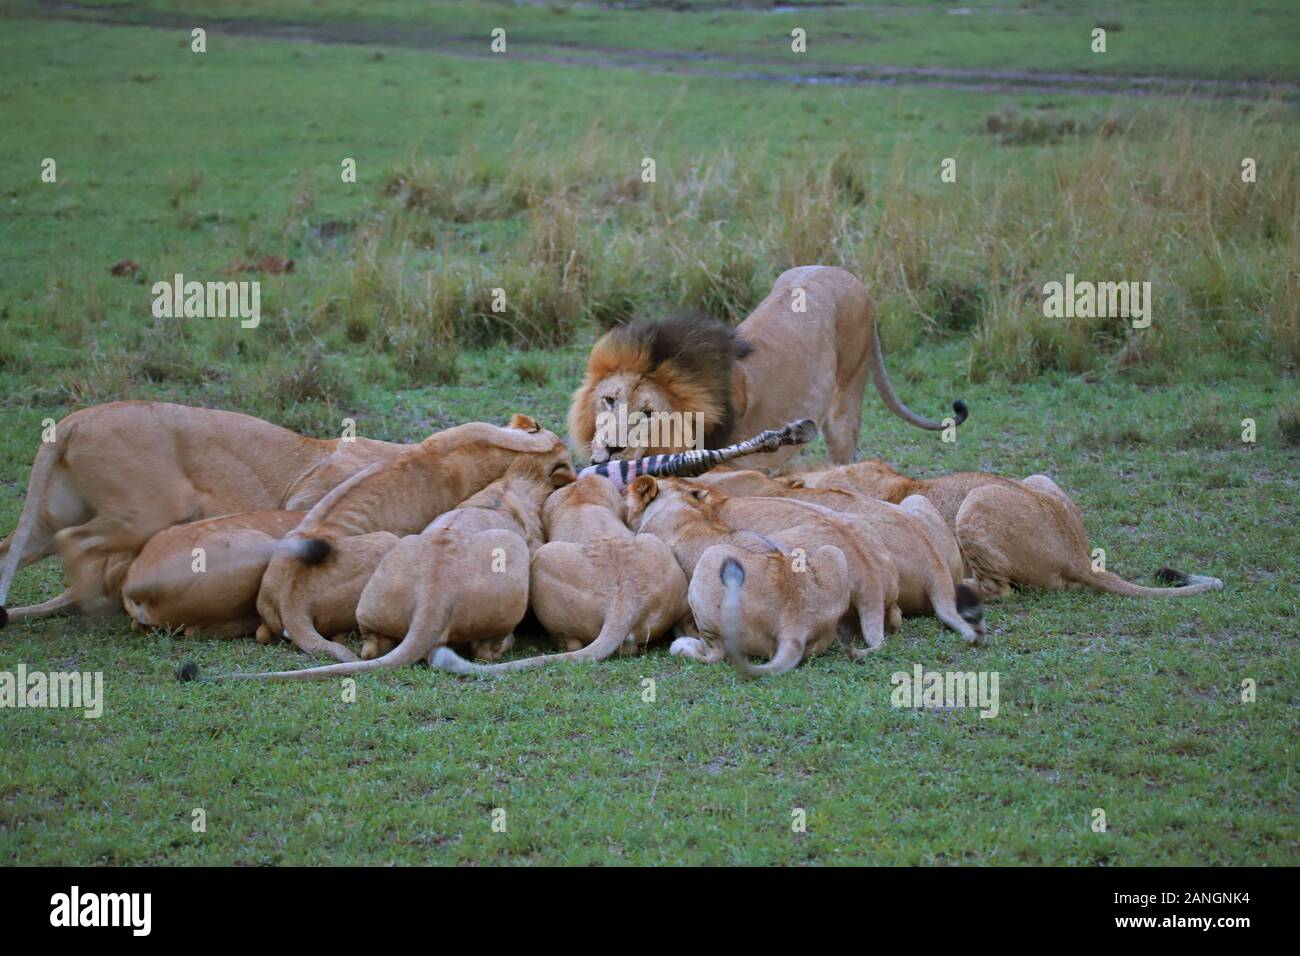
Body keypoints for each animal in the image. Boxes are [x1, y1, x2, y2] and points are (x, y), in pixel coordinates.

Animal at [0, 401, 409, 625]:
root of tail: (77, 420)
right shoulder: (309, 502)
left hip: (53, 517)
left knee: (10, 549)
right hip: (151, 510)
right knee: (74, 542)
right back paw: (95, 617)